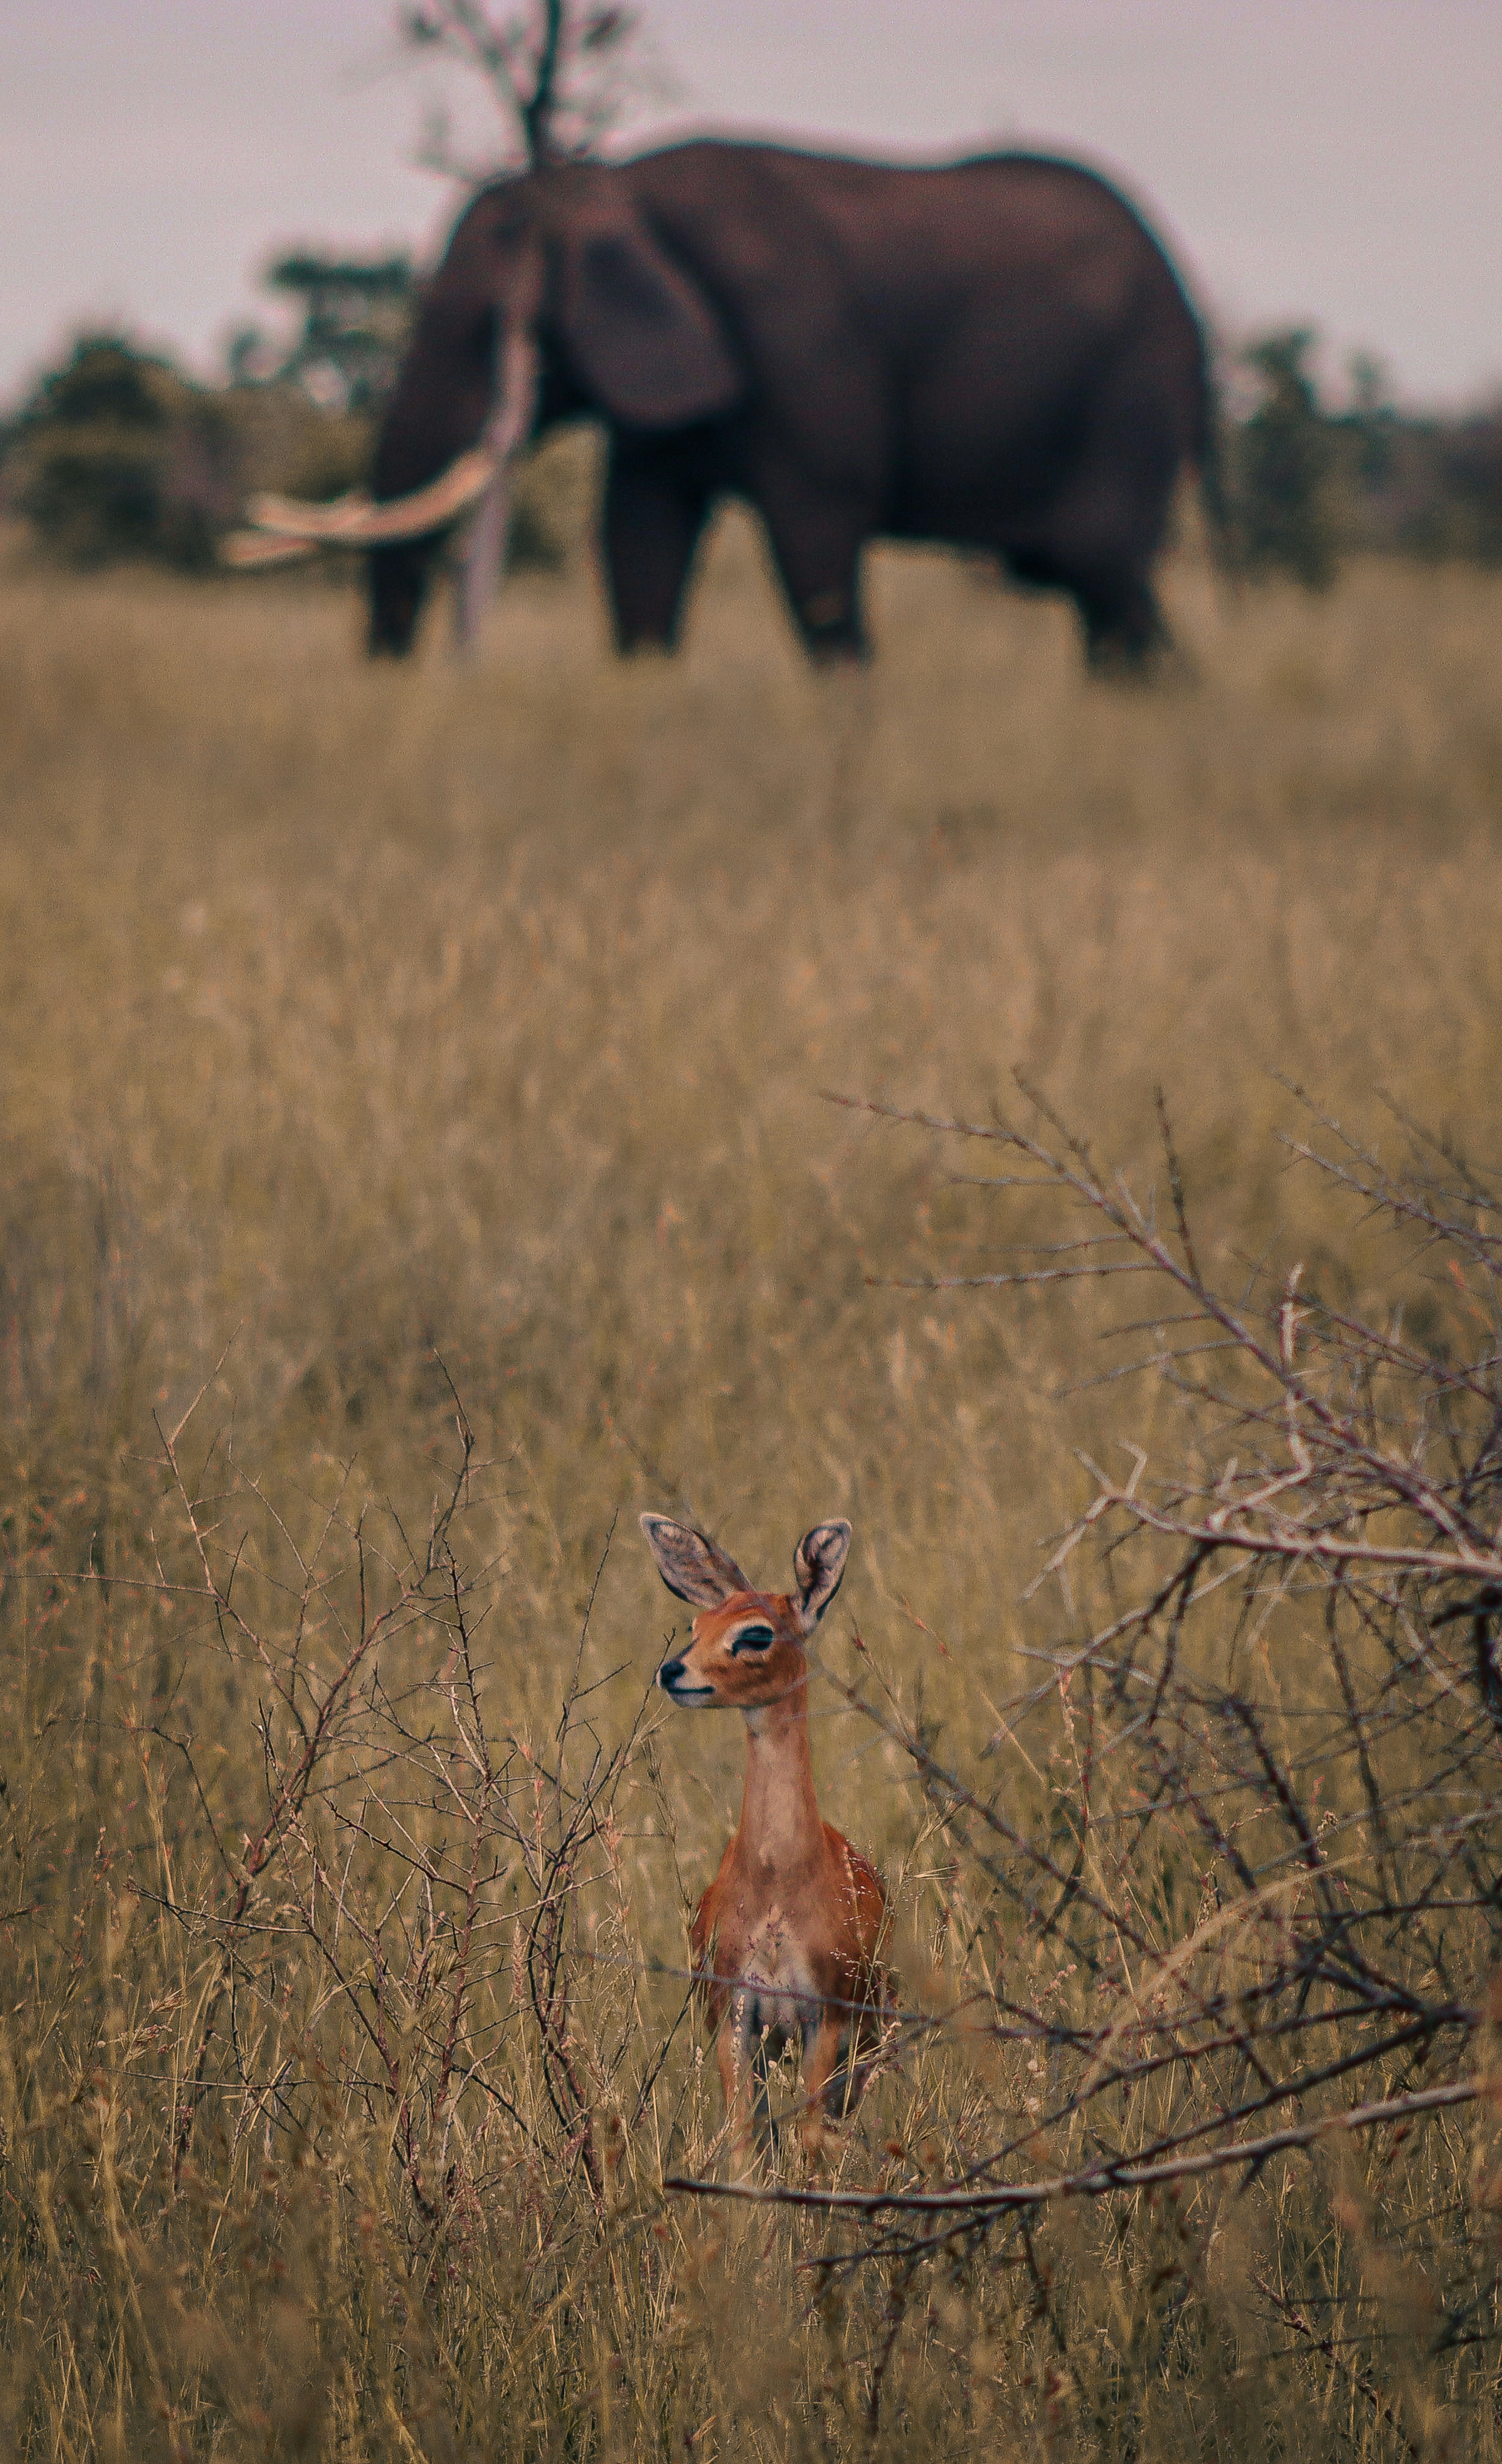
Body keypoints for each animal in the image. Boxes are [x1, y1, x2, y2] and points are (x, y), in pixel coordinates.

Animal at [237, 139, 1217, 668]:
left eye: (495, 329)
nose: (390, 688)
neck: (615, 185)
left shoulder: (798, 346)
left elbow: (816, 551)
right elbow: (639, 548)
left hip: (1130, 389)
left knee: (1104, 574)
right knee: (1098, 594)